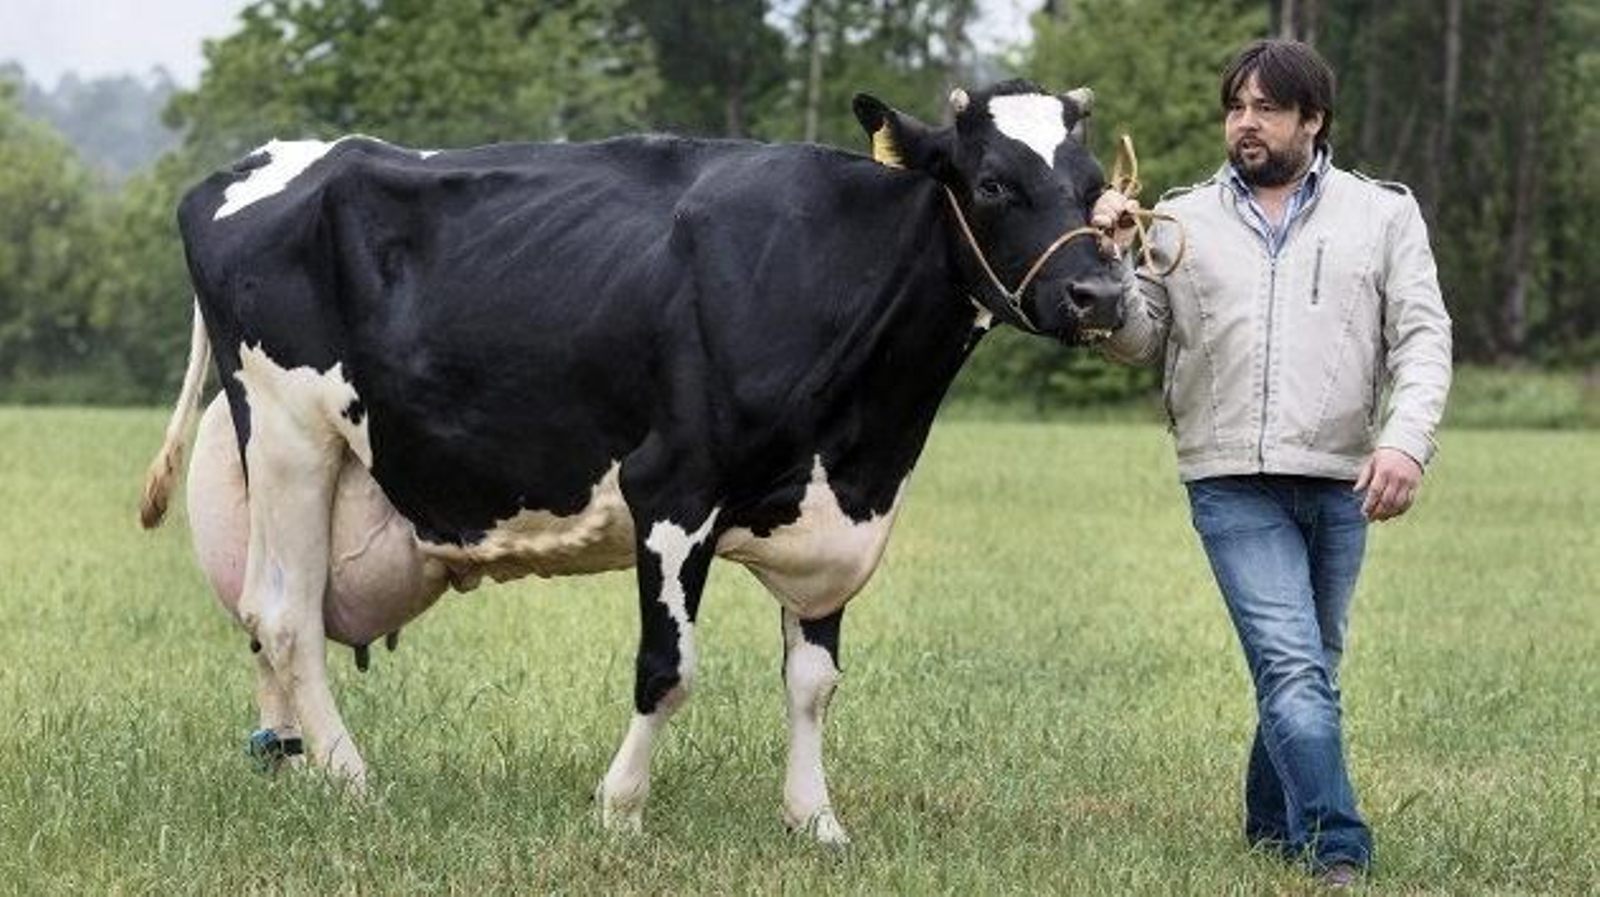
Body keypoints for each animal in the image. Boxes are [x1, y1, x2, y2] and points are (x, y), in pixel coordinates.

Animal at [139, 80, 1124, 844]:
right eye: (993, 182)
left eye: (1094, 190)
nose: (1101, 294)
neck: (866, 435)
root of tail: (259, 162)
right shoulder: (674, 491)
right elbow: (668, 669)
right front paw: (619, 808)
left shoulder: (837, 517)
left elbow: (813, 683)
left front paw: (815, 819)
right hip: (288, 431)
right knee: (287, 616)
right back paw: (354, 781)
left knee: (266, 615)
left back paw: (299, 767)